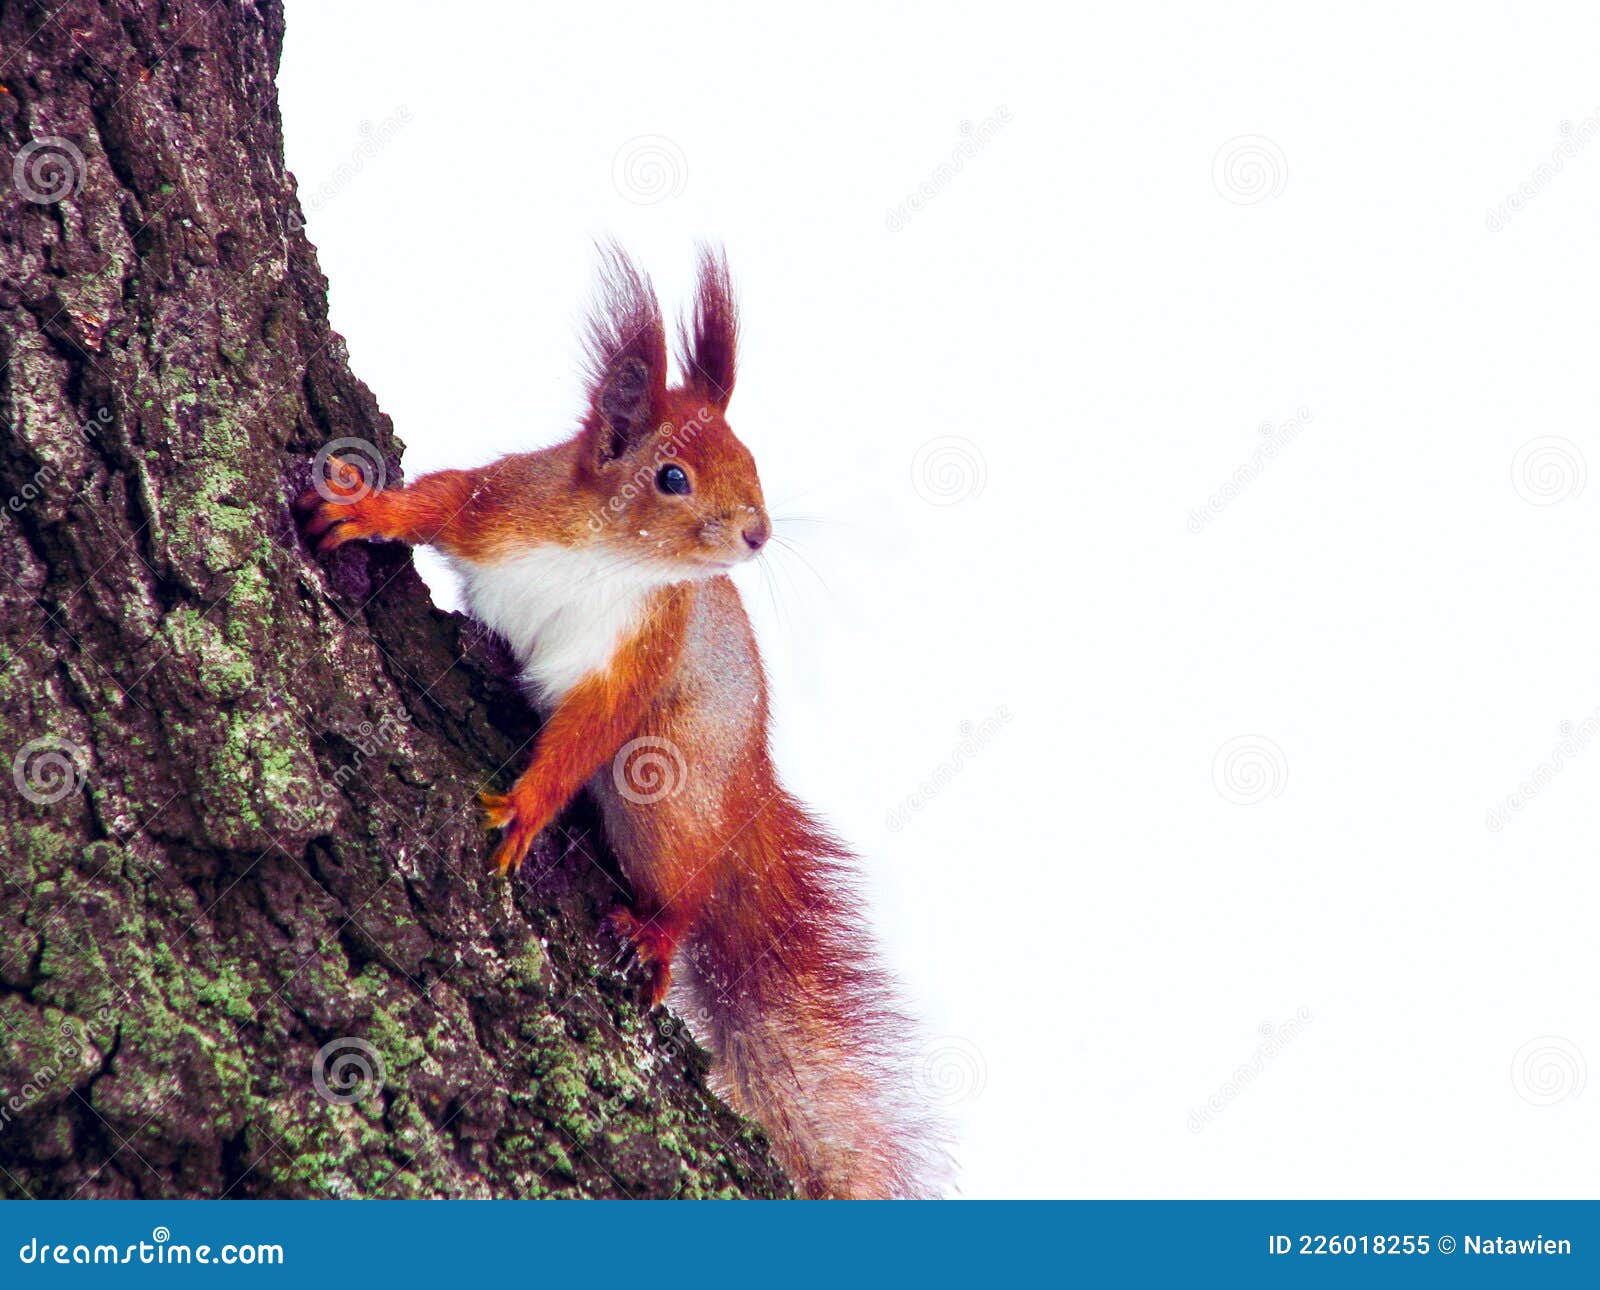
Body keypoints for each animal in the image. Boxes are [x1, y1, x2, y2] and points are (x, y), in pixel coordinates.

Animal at [297, 246, 948, 1199]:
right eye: (672, 477)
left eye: (751, 460)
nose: (757, 534)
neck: (611, 552)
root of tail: (750, 793)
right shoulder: (503, 505)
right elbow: (438, 500)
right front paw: (368, 509)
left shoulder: (640, 652)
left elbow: (588, 733)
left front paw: (527, 808)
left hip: (666, 802)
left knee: (690, 891)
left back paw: (658, 932)